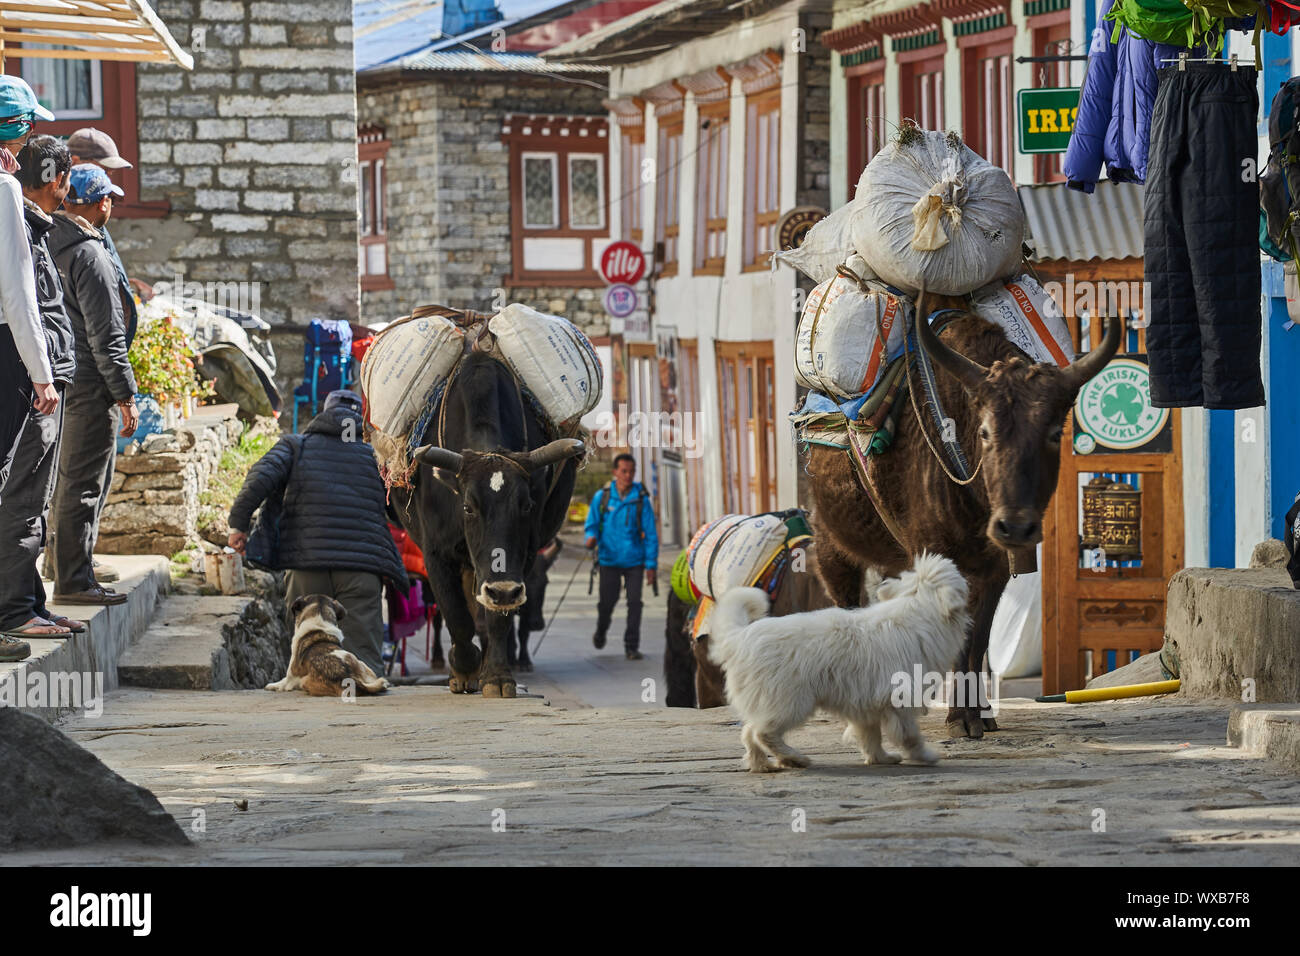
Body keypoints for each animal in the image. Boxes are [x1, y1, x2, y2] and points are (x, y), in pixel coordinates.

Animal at [389, 351, 585, 698]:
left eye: (526, 506)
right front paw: (464, 668)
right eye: (468, 507)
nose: (502, 589)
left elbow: (496, 620)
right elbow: (456, 615)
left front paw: (496, 676)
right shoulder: (436, 554)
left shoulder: (522, 560)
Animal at [804, 291, 1121, 738]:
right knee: (848, 604)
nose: (1015, 527)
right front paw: (958, 719)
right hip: (833, 548)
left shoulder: (995, 570)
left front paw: (979, 714)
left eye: (1053, 433)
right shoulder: (938, 556)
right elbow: (956, 638)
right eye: (986, 432)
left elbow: (978, 639)